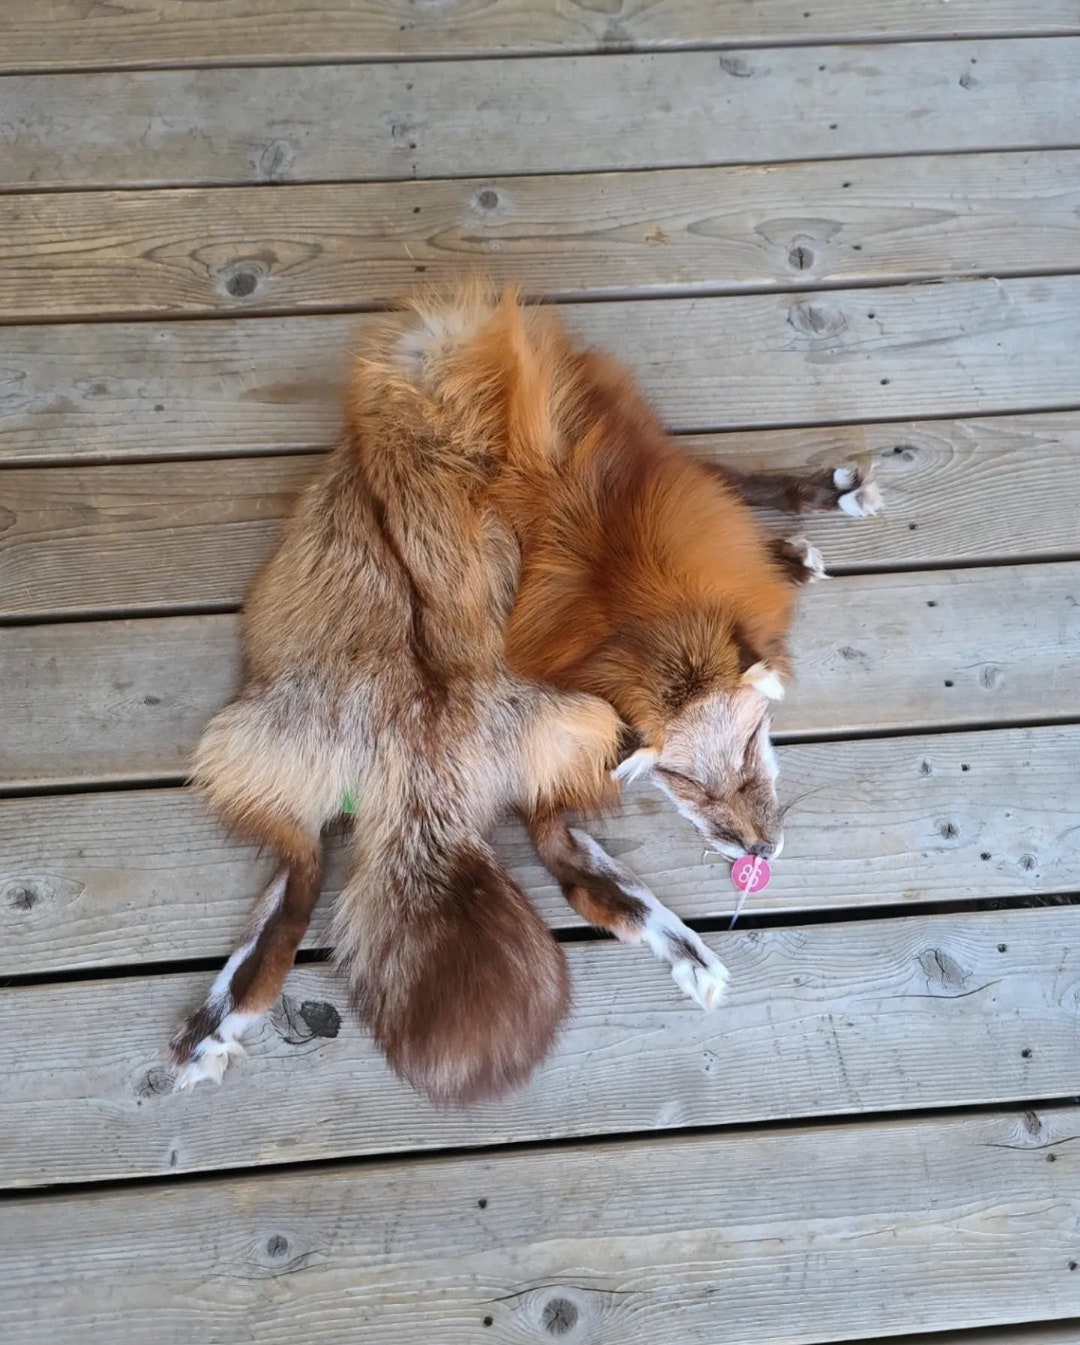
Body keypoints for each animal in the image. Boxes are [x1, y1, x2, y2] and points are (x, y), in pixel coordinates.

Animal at [170, 282, 880, 1105]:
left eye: (747, 751)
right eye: (686, 783)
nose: (760, 850)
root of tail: (422, 740)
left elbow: (733, 493)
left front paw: (803, 526)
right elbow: (733, 483)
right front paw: (804, 525)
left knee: (346, 882)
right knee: (382, 868)